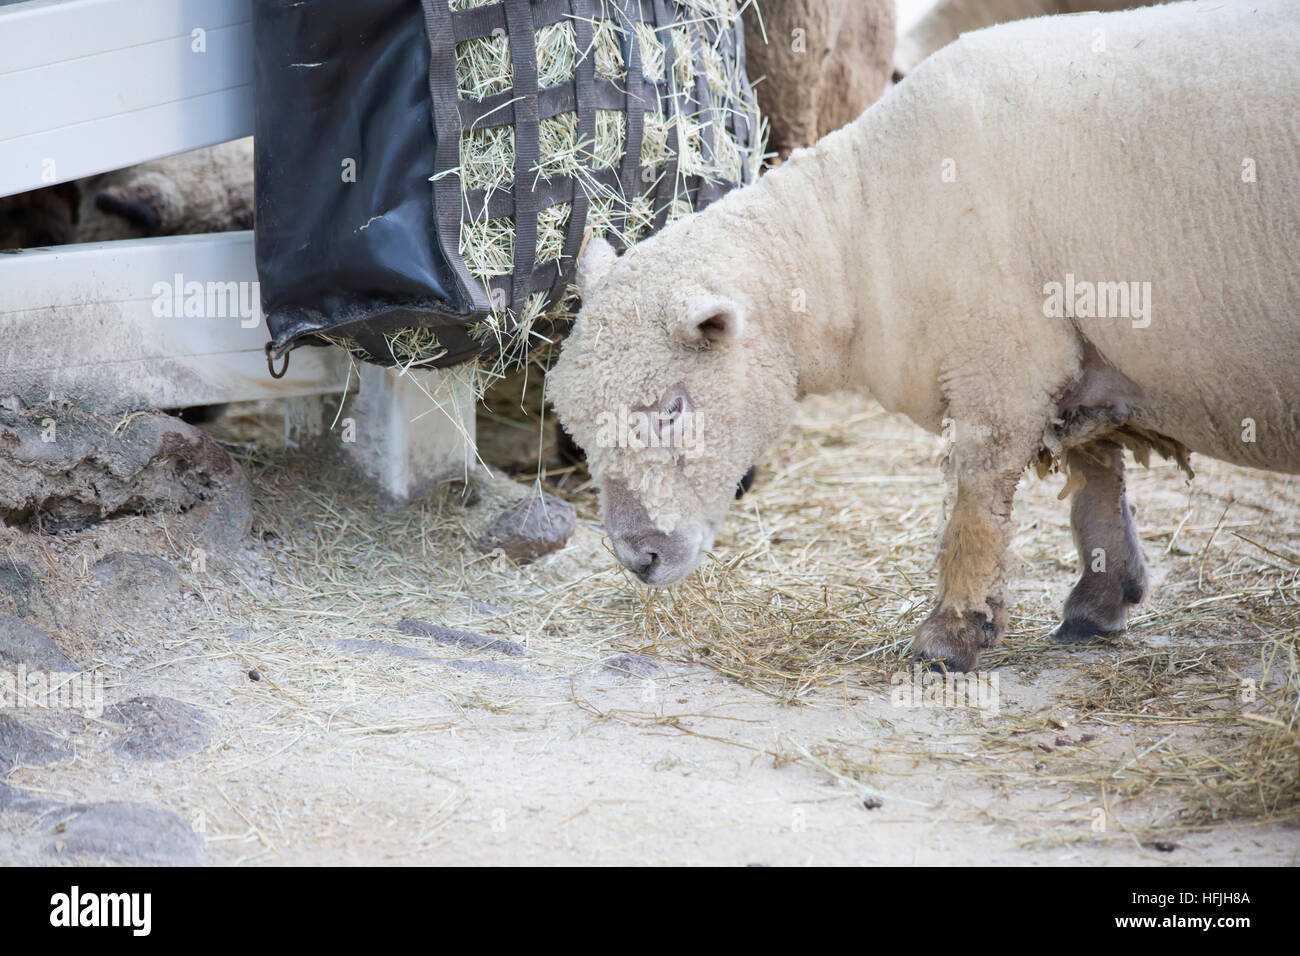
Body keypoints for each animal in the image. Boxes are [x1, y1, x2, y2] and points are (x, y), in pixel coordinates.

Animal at [548, 0, 1300, 672]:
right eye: (578, 434)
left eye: (672, 410)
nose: (638, 559)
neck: (863, 229)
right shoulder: (1073, 354)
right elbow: (1096, 478)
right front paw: (1101, 597)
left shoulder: (1002, 362)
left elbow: (975, 504)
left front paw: (950, 637)